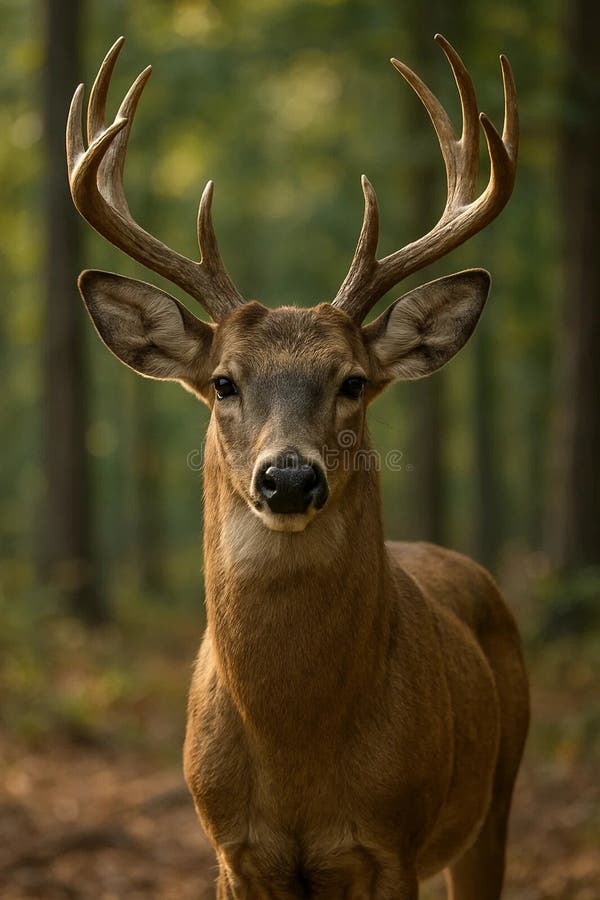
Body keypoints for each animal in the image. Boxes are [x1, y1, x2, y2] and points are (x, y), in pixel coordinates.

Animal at [67, 34, 529, 900]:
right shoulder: (231, 851)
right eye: (223, 381)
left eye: (352, 381)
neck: (296, 752)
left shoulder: (392, 846)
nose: (287, 478)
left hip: (497, 795)